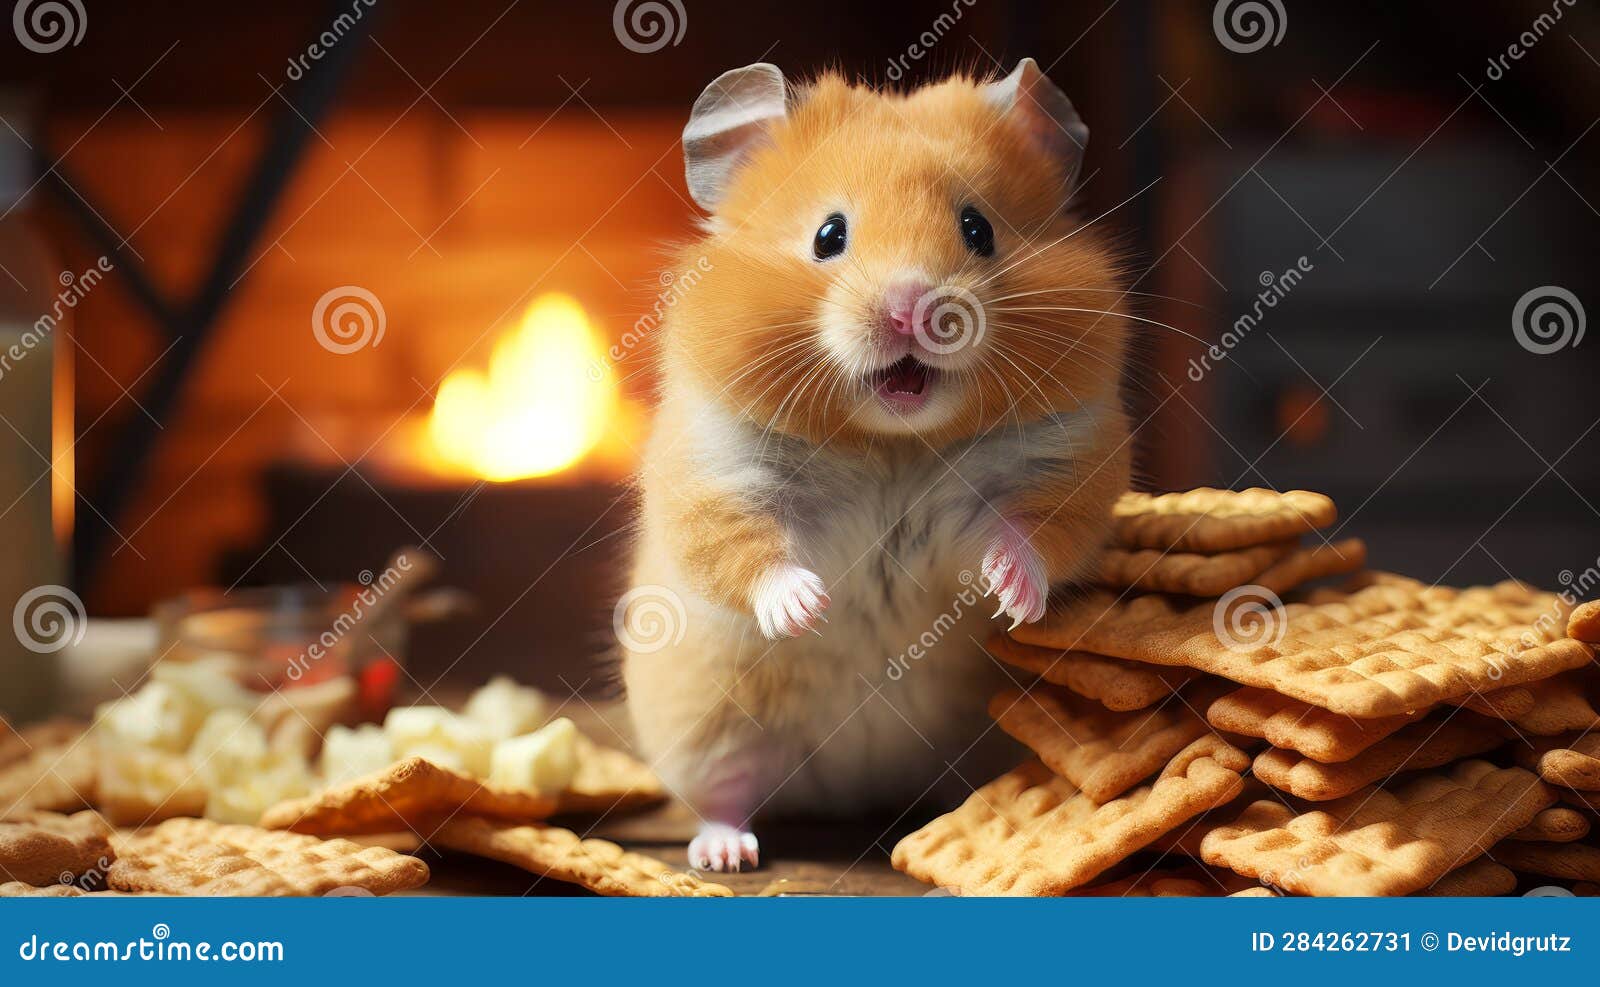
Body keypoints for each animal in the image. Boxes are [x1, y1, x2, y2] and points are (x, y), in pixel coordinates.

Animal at [621, 59, 1131, 872]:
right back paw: (726, 853)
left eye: (979, 229)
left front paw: (1010, 596)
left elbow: (1035, 534)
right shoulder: (716, 473)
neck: (894, 441)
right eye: (829, 235)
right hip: (706, 728)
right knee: (723, 798)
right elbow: (750, 551)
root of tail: (848, 794)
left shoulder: (1068, 460)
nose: (912, 307)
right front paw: (809, 608)